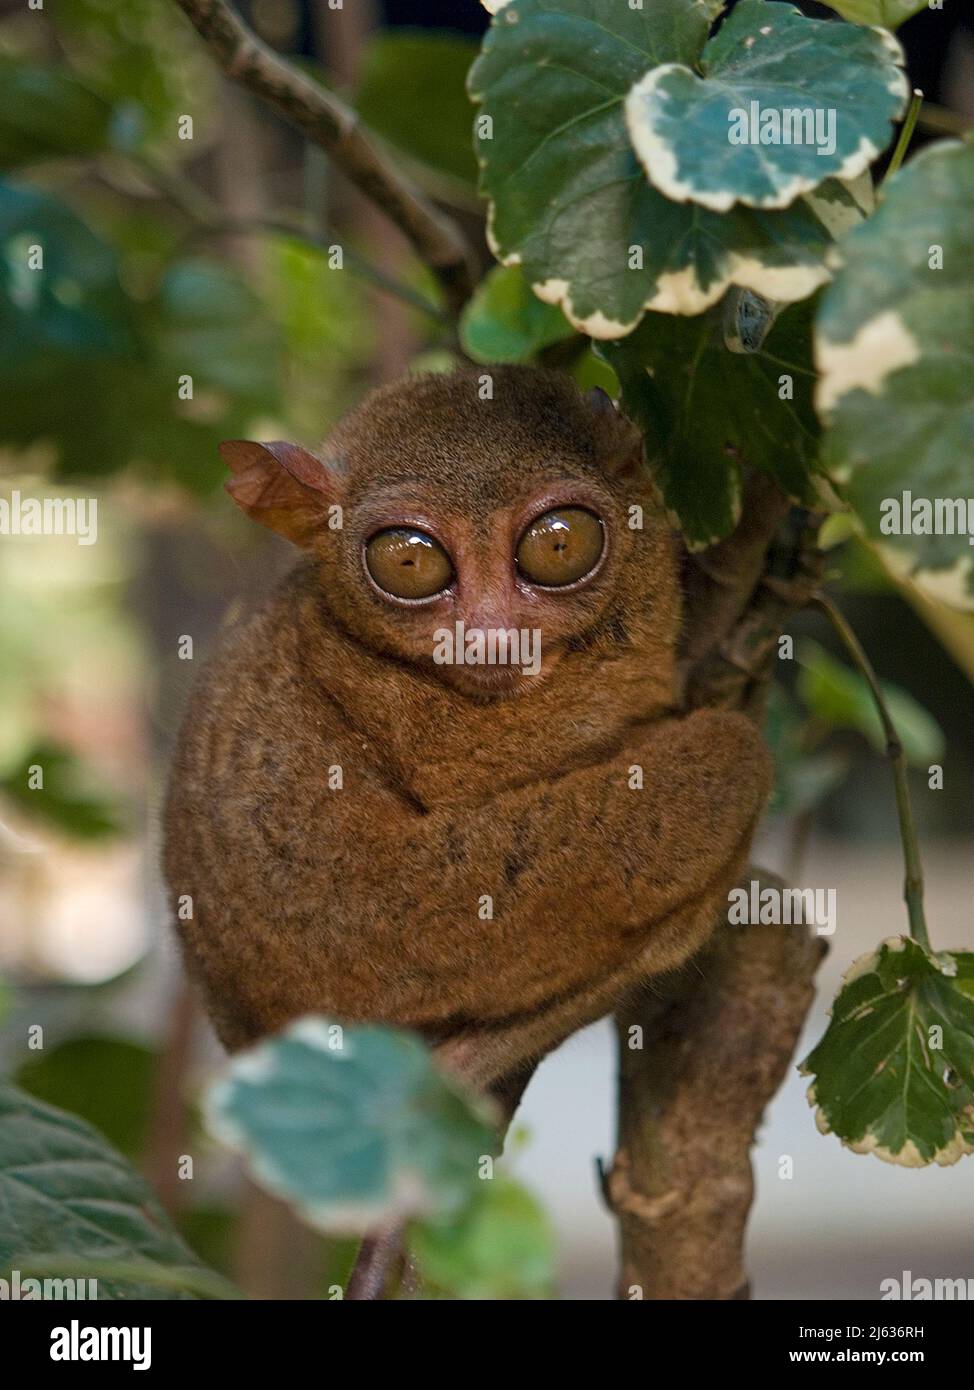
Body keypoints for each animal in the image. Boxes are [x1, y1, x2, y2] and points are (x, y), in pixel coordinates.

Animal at [162, 365, 771, 1095]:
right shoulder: (379, 688)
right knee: (735, 758)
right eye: (408, 564)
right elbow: (468, 760)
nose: (490, 640)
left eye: (559, 544)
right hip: (414, 928)